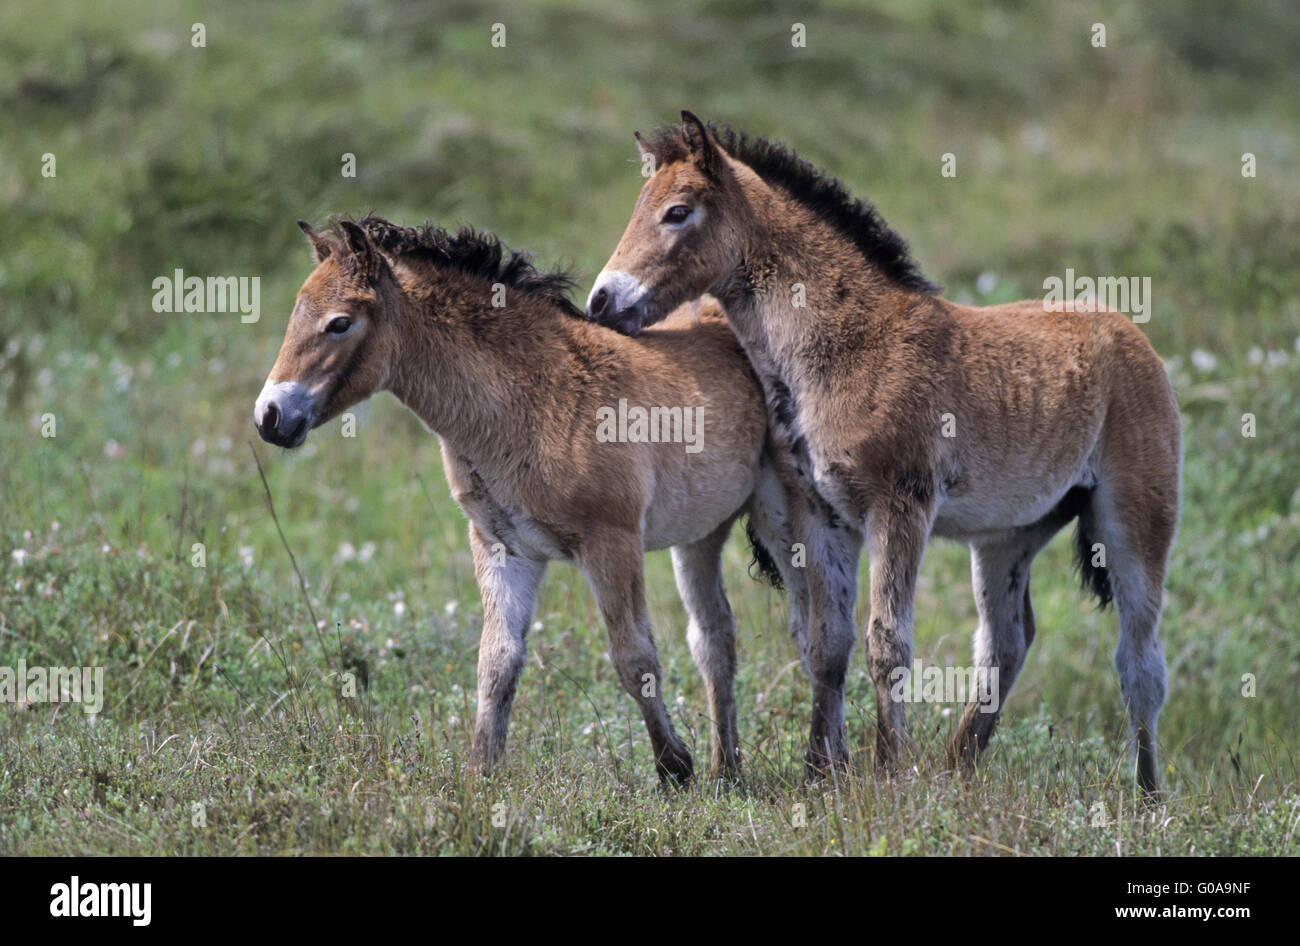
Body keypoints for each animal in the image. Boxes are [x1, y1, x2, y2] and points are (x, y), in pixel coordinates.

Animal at [253, 215, 809, 783]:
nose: (270, 417)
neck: (535, 398)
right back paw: (728, 769)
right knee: (714, 638)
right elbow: (497, 662)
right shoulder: (502, 546)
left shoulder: (611, 543)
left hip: (780, 518)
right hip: (700, 534)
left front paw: (674, 767)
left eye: (339, 323)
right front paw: (482, 773)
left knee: (815, 625)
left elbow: (634, 659)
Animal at [585, 113, 1181, 795]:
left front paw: (889, 769)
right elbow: (829, 641)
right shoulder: (821, 514)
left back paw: (1147, 794)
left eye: (677, 213)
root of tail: (1131, 335)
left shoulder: (901, 507)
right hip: (1007, 535)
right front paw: (821, 771)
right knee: (1006, 642)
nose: (601, 301)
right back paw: (957, 769)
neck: (852, 345)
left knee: (1140, 660)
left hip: (1135, 518)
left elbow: (887, 641)